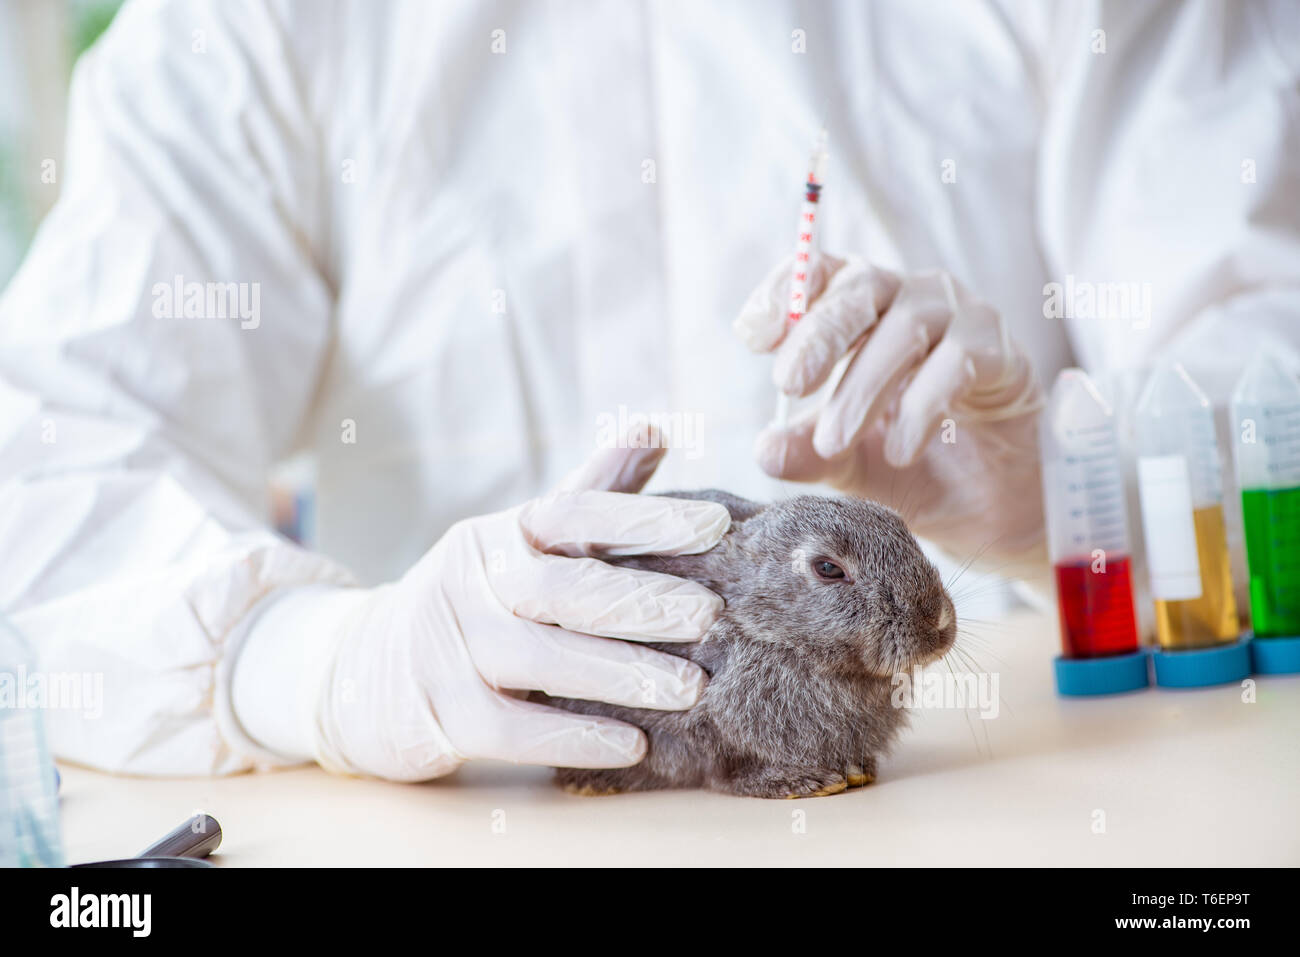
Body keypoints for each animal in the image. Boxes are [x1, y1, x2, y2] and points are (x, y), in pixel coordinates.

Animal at [531, 490, 958, 799]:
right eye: (828, 568)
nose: (937, 621)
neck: (768, 629)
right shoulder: (707, 725)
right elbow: (726, 766)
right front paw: (800, 783)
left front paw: (855, 771)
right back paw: (590, 783)